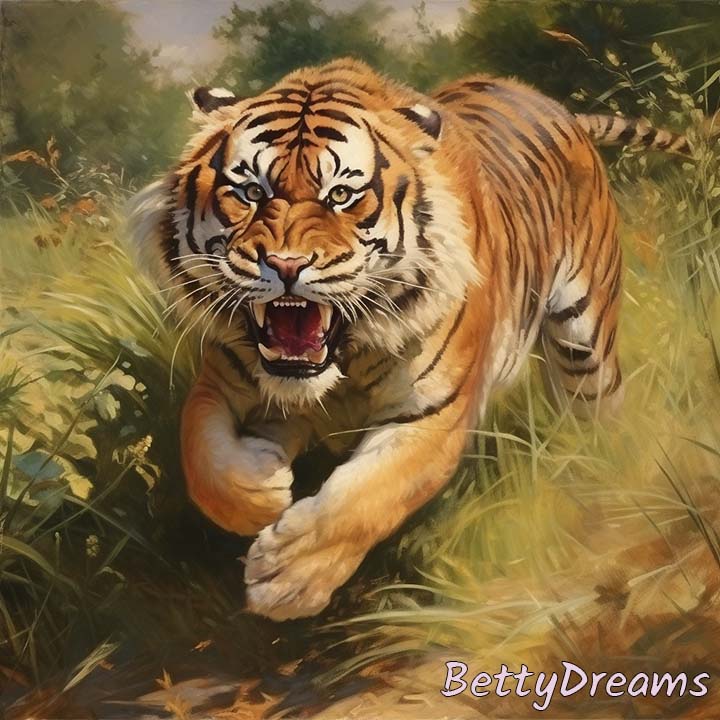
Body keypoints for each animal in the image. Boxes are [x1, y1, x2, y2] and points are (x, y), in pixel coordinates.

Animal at [129, 58, 689, 621]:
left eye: (341, 195)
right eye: (250, 192)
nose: (286, 265)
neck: (343, 362)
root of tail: (555, 106)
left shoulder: (432, 413)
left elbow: (365, 497)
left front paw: (287, 580)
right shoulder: (219, 383)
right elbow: (202, 457)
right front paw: (262, 486)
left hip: (584, 346)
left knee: (599, 414)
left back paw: (607, 485)